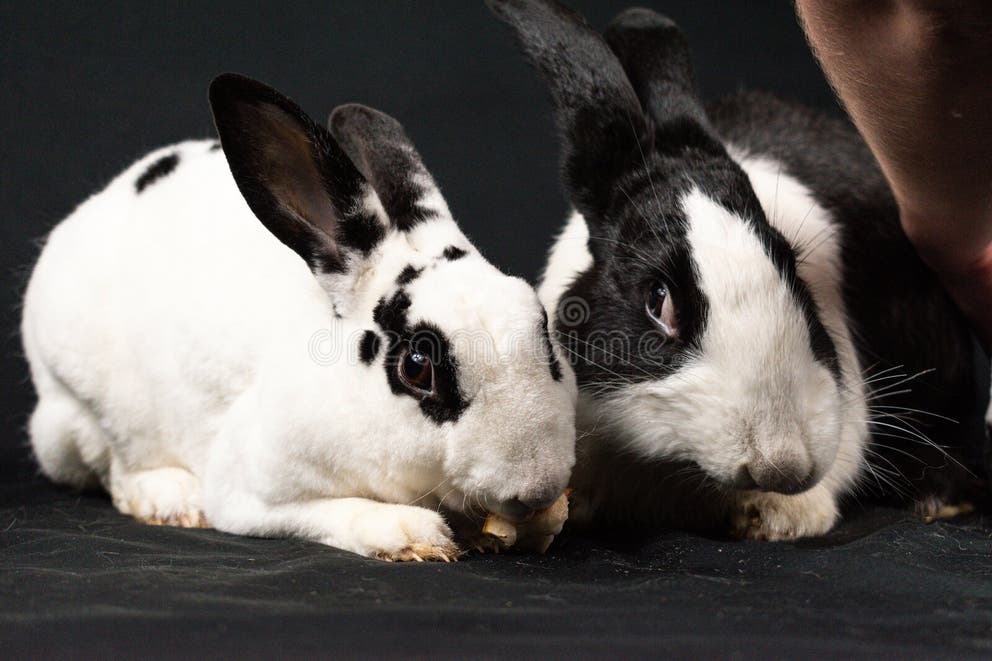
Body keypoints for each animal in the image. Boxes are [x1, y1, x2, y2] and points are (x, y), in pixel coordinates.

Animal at [20, 73, 577, 561]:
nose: (538, 486)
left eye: (544, 331)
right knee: (117, 467)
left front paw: (537, 526)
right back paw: (171, 499)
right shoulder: (250, 492)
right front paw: (410, 534)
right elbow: (331, 512)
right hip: (87, 413)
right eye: (417, 367)